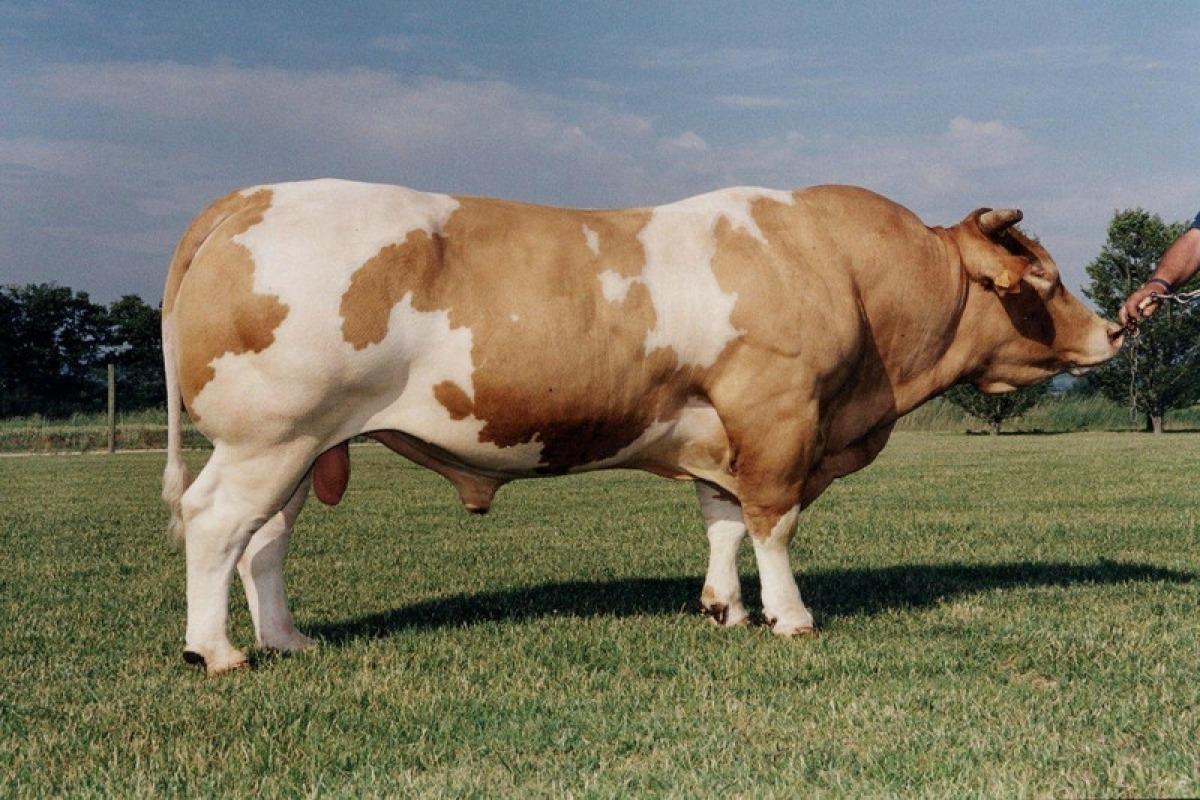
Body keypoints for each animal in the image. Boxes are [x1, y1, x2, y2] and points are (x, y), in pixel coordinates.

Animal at [161, 179, 1122, 674]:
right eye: (1042, 279)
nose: (1116, 329)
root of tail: (252, 195)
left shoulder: (722, 432)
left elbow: (722, 520)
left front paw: (724, 608)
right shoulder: (780, 417)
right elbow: (774, 524)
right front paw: (790, 617)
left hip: (305, 445)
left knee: (264, 542)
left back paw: (286, 638)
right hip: (271, 434)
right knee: (214, 525)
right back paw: (217, 652)